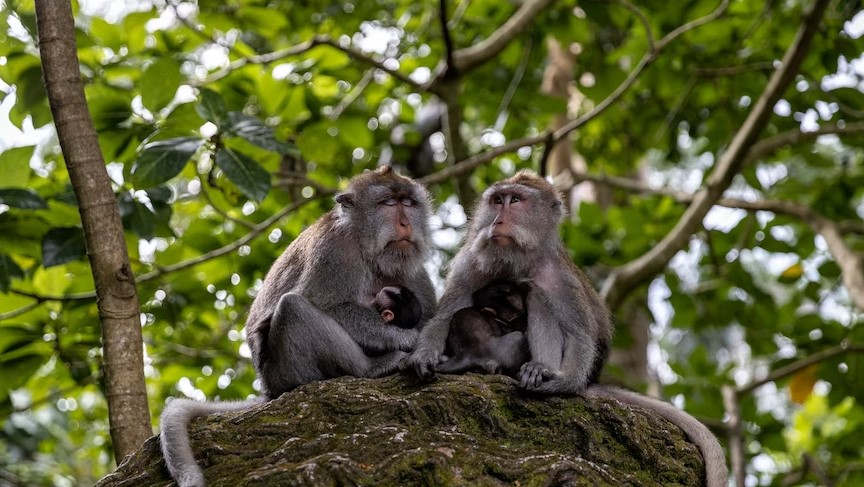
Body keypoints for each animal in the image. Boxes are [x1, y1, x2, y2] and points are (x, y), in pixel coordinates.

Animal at [161, 167, 437, 487]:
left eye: (409, 203)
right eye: (389, 204)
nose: (405, 223)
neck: (364, 245)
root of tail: (269, 389)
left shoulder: (410, 270)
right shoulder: (334, 253)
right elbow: (328, 305)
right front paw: (412, 339)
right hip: (284, 372)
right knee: (293, 307)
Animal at [404, 170, 727, 487]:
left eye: (515, 200)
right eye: (497, 201)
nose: (497, 220)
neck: (518, 263)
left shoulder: (560, 278)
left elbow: (578, 335)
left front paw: (563, 381)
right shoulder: (469, 264)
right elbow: (445, 316)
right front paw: (424, 355)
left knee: (539, 300)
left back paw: (540, 369)